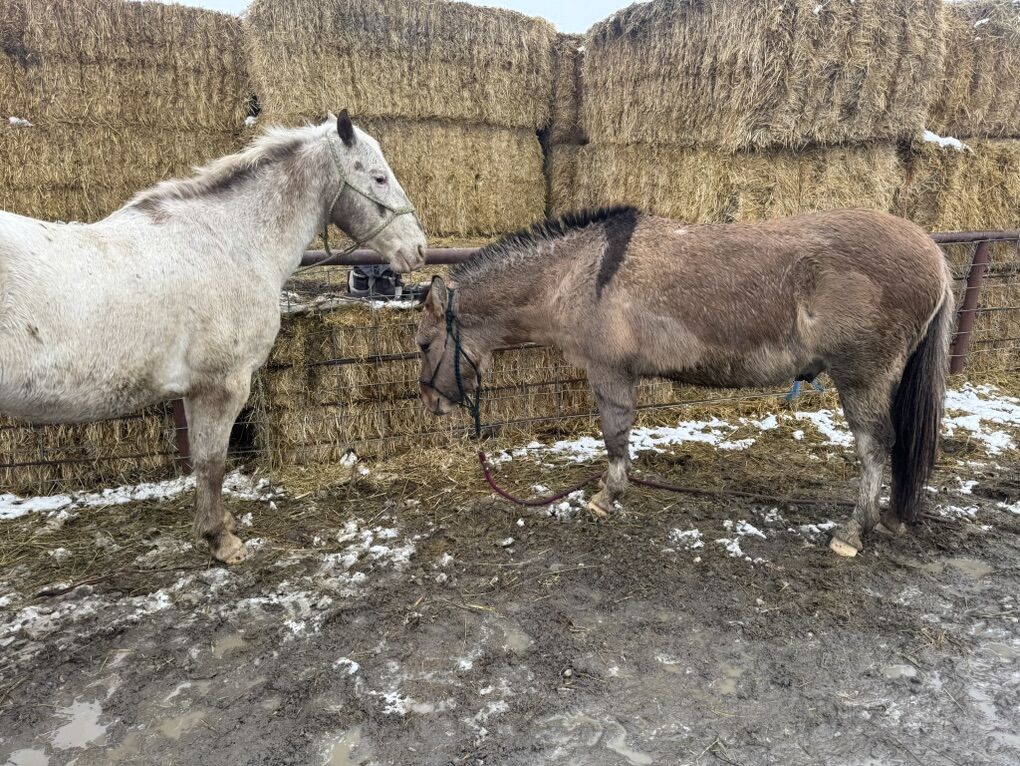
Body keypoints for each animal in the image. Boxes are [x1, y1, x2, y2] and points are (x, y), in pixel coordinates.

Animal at [0, 111, 427, 564]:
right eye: (379, 177)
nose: (417, 248)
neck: (228, 242)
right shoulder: (223, 384)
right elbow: (212, 463)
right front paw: (220, 539)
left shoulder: (195, 389)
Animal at [416, 207, 954, 557]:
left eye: (422, 344)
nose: (430, 402)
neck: (580, 272)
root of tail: (932, 254)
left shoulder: (609, 372)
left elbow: (614, 437)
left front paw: (607, 497)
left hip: (861, 377)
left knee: (875, 447)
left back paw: (852, 531)